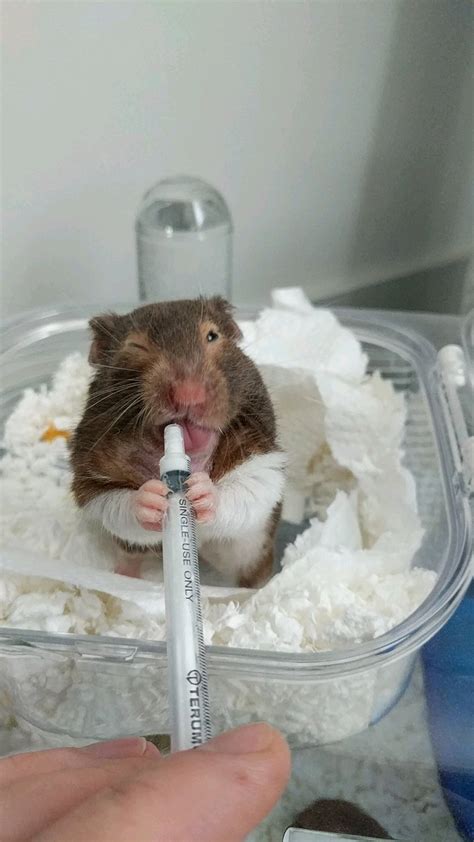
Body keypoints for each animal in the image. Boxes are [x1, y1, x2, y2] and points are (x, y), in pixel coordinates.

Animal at [70, 296, 286, 587]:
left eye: (212, 336)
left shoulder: (262, 455)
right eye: (135, 346)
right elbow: (116, 504)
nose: (189, 394)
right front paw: (151, 498)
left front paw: (202, 493)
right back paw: (124, 574)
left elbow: (250, 487)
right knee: (131, 553)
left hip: (253, 551)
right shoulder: (91, 479)